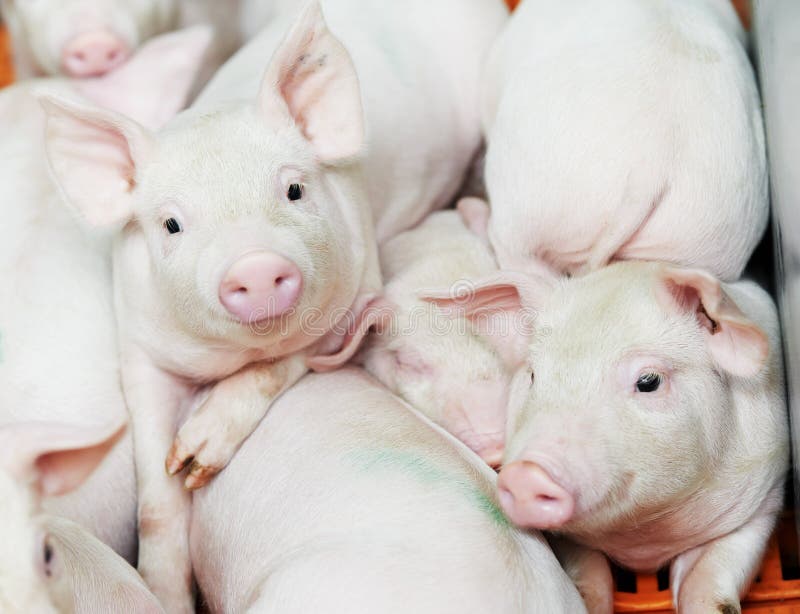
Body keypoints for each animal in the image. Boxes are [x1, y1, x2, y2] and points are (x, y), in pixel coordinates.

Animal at [39, 5, 383, 611]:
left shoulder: (365, 287)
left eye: (294, 190)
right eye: (172, 224)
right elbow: (156, 495)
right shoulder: (138, 349)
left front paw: (197, 461)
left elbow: (280, 365)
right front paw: (177, 484)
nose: (254, 265)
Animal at [428, 261, 789, 613]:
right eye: (533, 375)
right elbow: (589, 577)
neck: (644, 543)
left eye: (649, 380)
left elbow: (710, 582)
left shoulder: (763, 497)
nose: (526, 474)